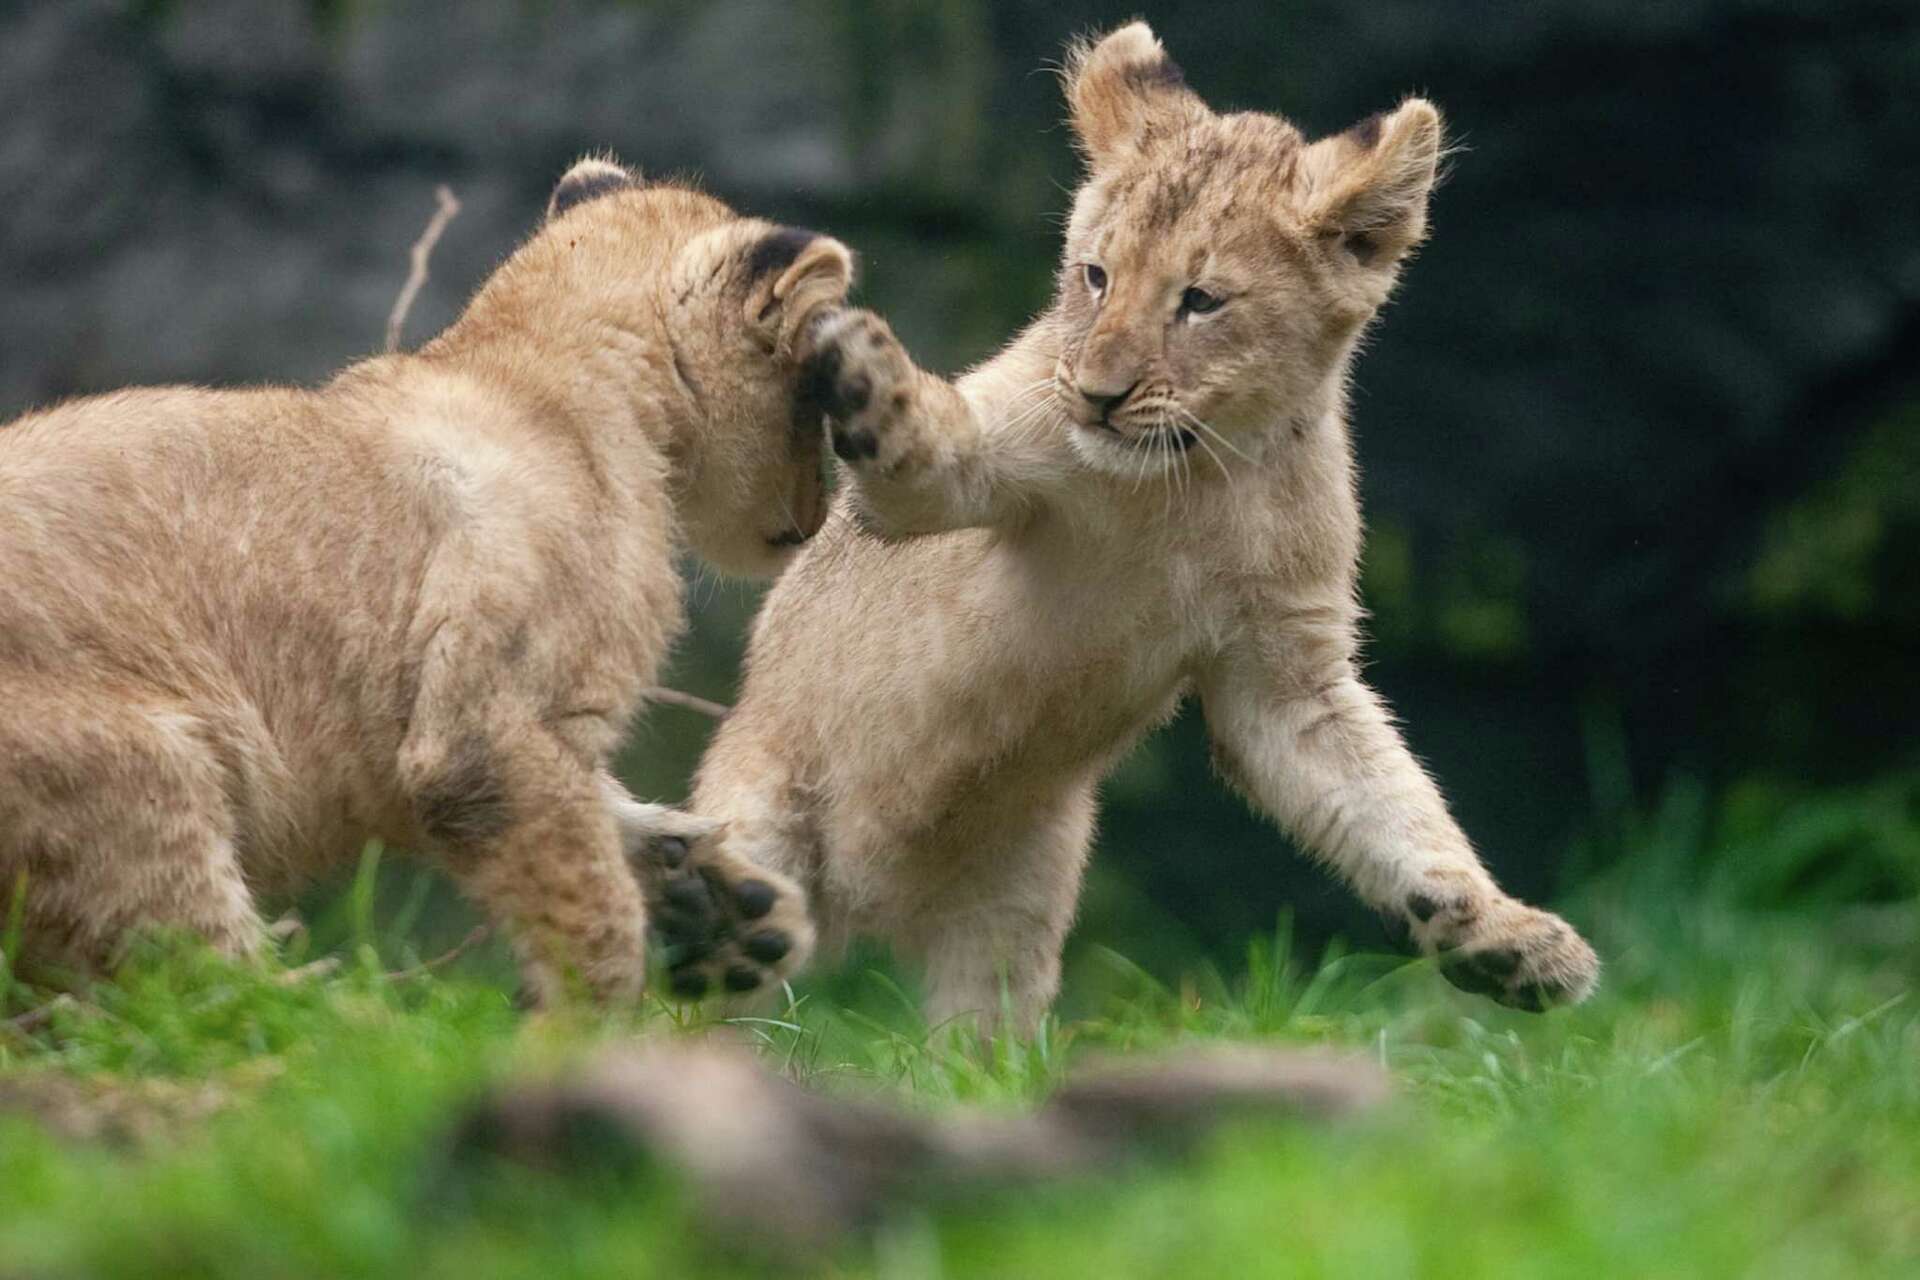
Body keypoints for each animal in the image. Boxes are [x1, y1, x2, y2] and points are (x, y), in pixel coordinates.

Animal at [0, 157, 839, 1004]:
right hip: (134, 770)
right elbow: (583, 889)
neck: (532, 366)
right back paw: (342, 1007)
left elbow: (596, 810)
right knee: (195, 985)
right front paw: (592, 1014)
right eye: (820, 386)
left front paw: (731, 914)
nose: (817, 517)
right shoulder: (478, 725)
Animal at [692, 24, 1601, 1029]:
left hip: (1020, 888)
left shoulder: (1283, 671)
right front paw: (856, 366)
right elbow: (927, 459)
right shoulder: (967, 475)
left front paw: (1507, 941)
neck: (1192, 481)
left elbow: (1385, 800)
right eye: (1096, 276)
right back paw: (708, 938)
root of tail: (862, 911)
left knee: (976, 1037)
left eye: (1200, 300)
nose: (1097, 394)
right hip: (760, 798)